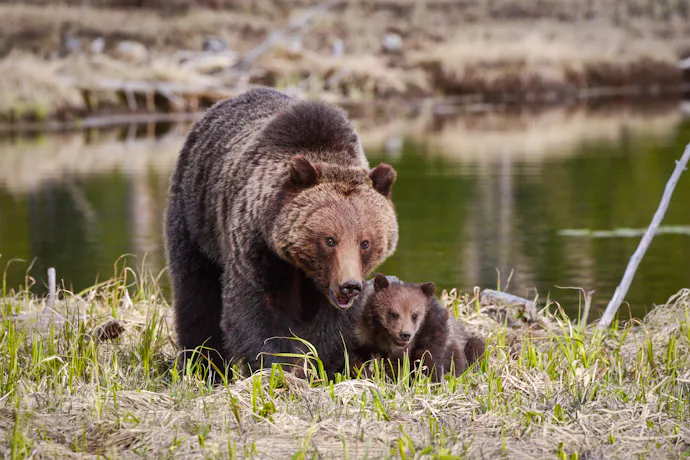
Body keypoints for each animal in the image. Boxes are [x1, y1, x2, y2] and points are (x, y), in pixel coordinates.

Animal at [164, 87, 398, 375]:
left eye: (365, 242)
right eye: (329, 240)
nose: (350, 286)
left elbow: (333, 325)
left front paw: (316, 363)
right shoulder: (257, 247)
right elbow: (256, 308)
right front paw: (278, 366)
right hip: (195, 216)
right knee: (196, 292)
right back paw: (203, 363)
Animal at [352, 274, 485, 381]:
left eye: (415, 315)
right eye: (394, 314)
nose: (405, 334)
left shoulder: (432, 332)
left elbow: (423, 360)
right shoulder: (363, 333)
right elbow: (356, 356)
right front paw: (365, 373)